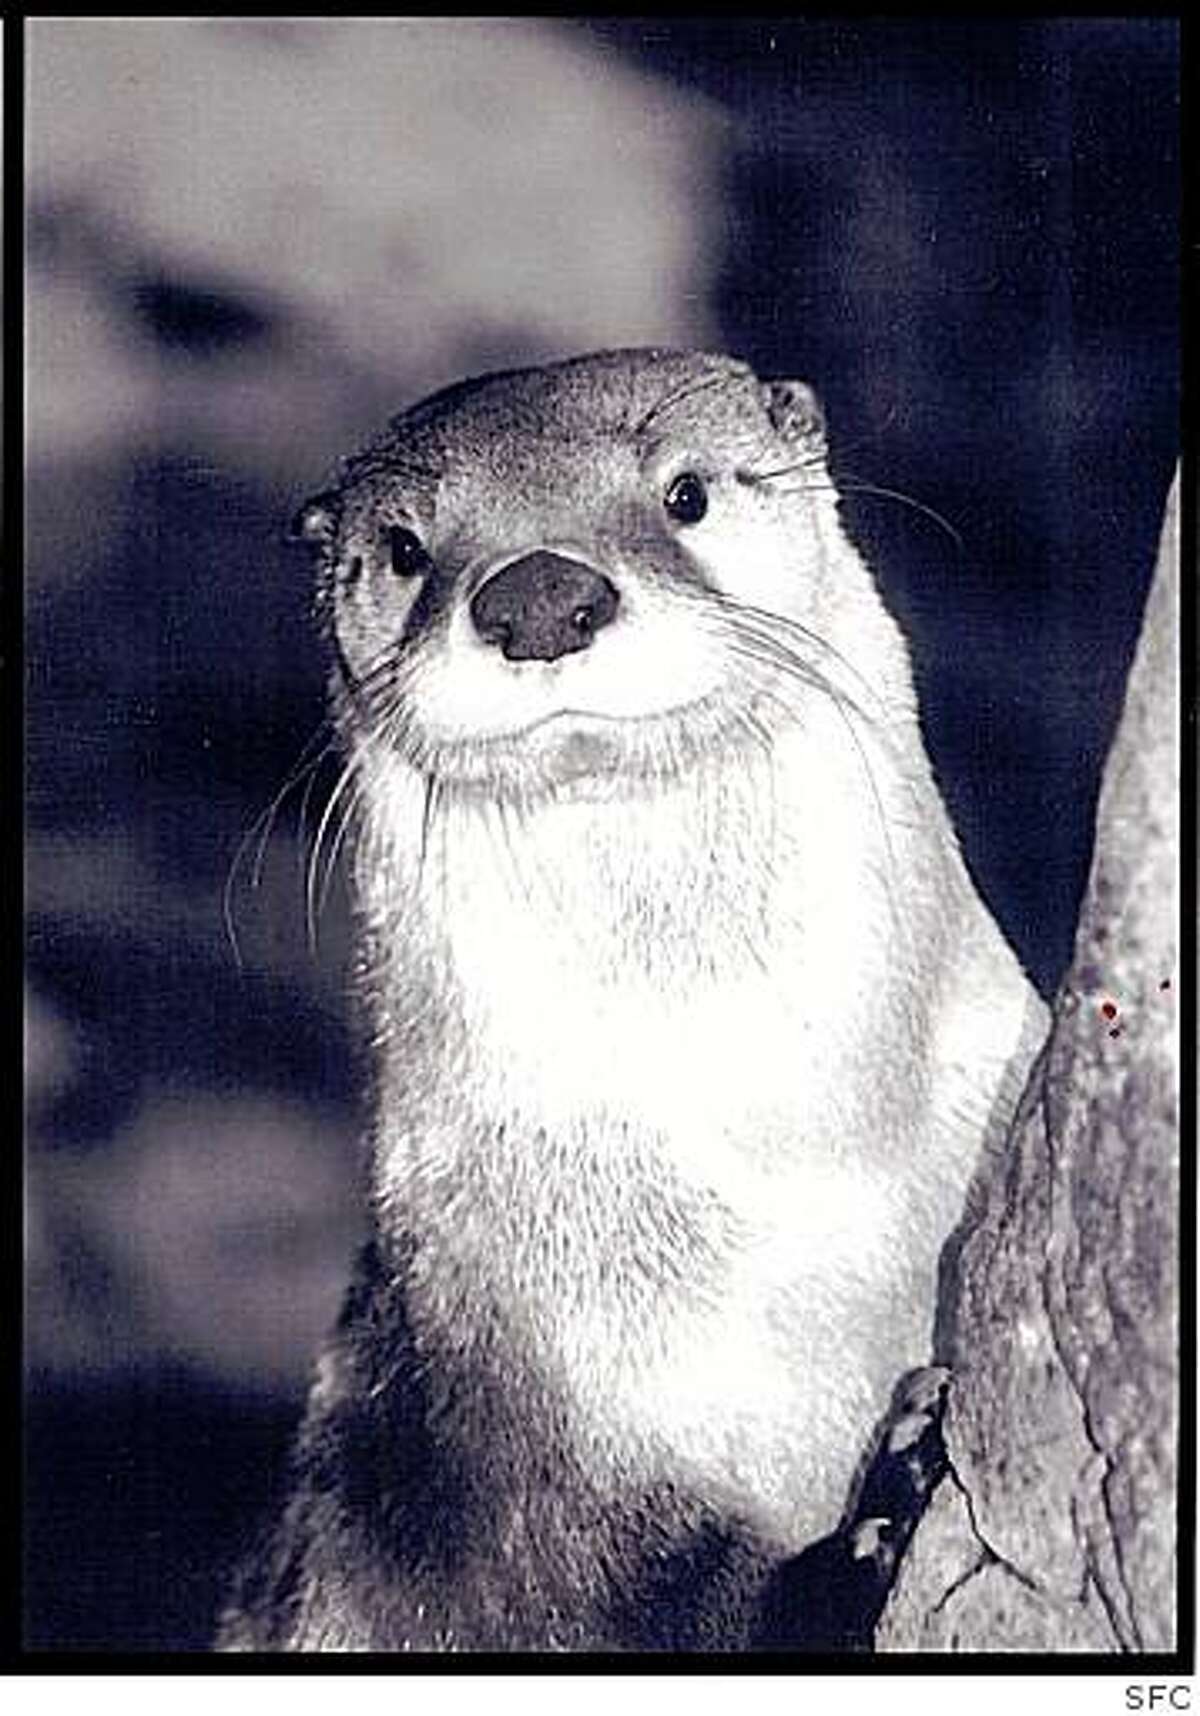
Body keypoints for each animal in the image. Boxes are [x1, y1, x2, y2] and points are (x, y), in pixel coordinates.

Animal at [217, 349, 1047, 1652]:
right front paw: (883, 1511)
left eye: (686, 493)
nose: (538, 593)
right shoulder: (453, 1457)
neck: (799, 1202)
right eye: (405, 547)